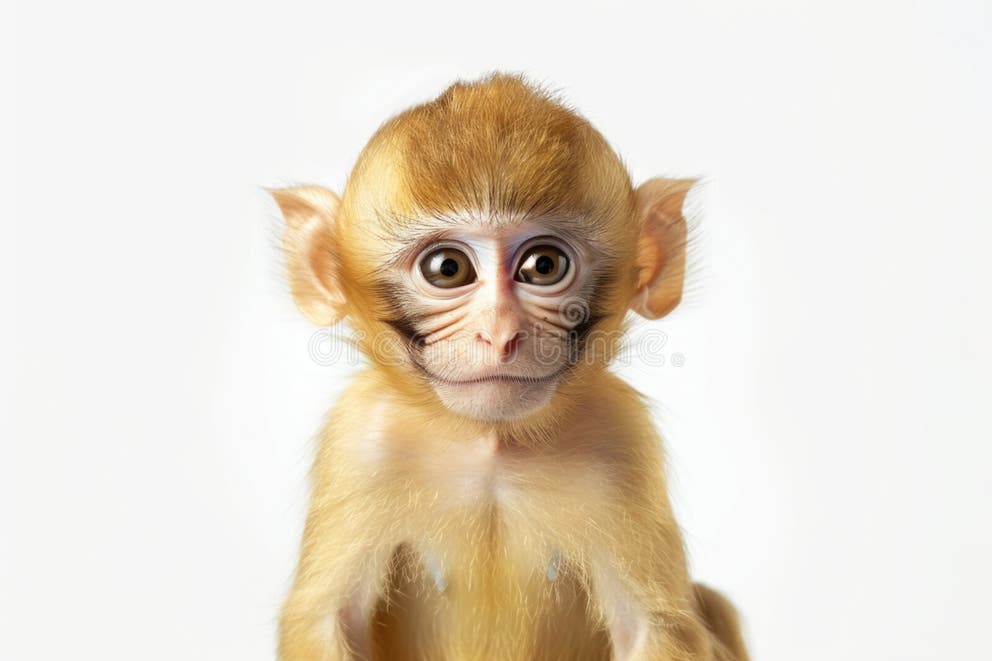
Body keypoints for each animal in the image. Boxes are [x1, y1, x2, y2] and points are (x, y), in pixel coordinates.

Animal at [272, 74, 749, 661]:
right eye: (447, 268)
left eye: (544, 266)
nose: (499, 333)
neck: (491, 446)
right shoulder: (360, 441)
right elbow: (327, 619)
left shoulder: (622, 440)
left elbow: (654, 628)